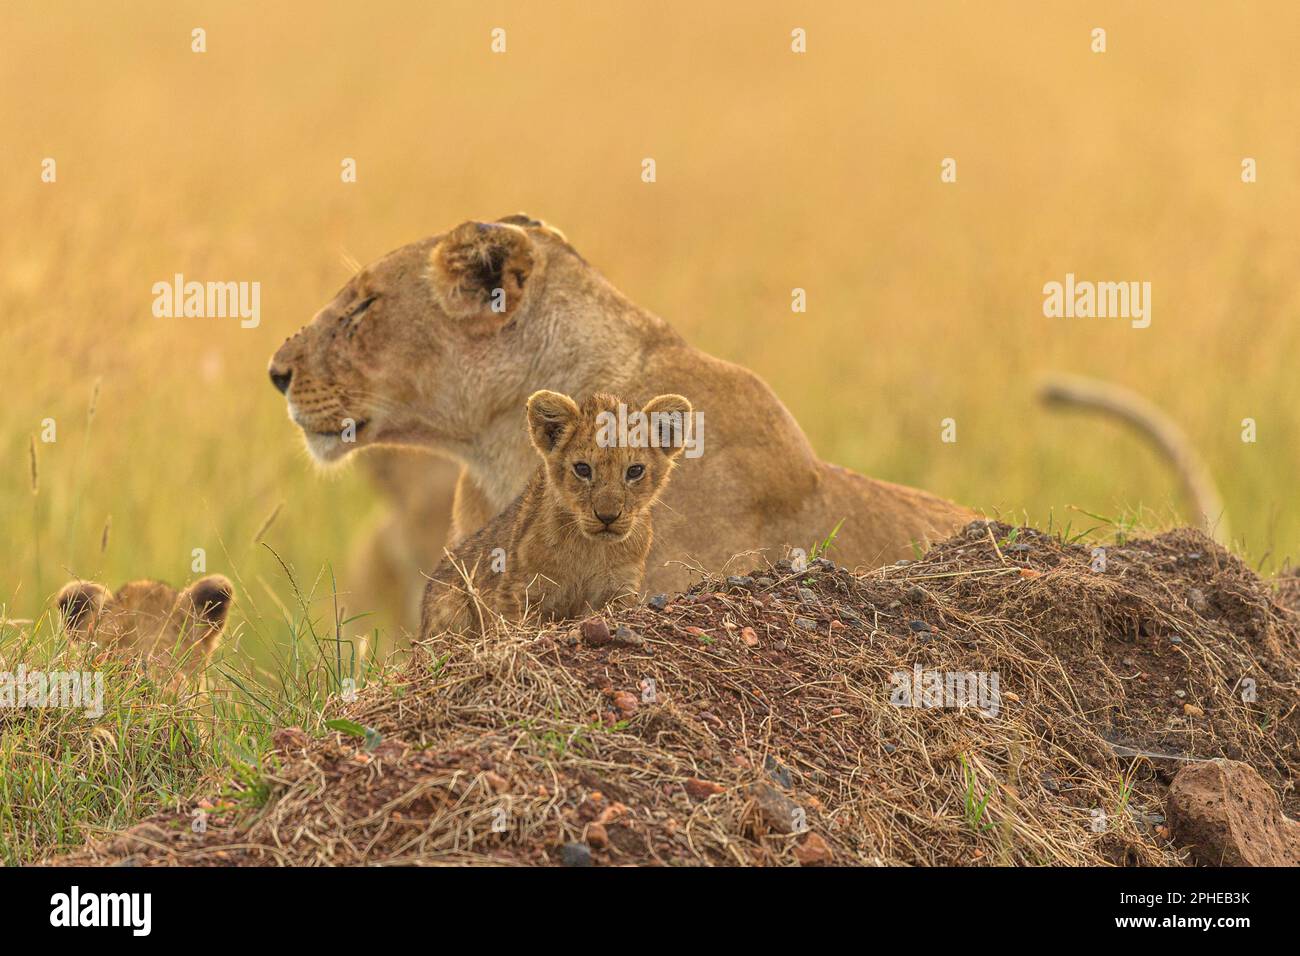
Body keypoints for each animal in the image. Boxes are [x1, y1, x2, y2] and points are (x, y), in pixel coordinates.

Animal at [422, 389, 692, 638]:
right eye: (582, 469)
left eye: (635, 471)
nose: (607, 517)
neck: (590, 549)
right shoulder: (518, 592)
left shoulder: (619, 587)